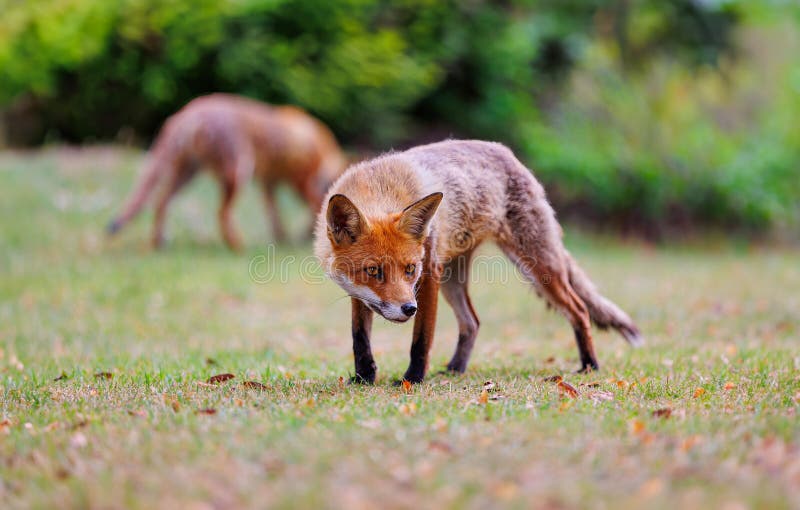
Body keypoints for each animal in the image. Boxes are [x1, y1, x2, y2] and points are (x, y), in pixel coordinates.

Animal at [108, 93, 346, 250]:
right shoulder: (302, 181)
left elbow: (274, 215)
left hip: (187, 175)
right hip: (239, 172)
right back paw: (238, 246)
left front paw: (284, 239)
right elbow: (315, 208)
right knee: (221, 214)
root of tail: (191, 110)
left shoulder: (269, 182)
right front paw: (307, 238)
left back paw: (159, 242)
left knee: (160, 201)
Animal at [314, 140, 642, 384]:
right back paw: (455, 369)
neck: (381, 186)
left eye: (410, 269)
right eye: (373, 271)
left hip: (537, 269)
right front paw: (363, 378)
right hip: (453, 280)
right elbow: (359, 338)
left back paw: (589, 365)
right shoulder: (360, 293)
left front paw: (412, 379)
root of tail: (507, 153)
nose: (408, 308)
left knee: (580, 309)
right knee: (472, 322)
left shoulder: (428, 276)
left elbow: (421, 338)